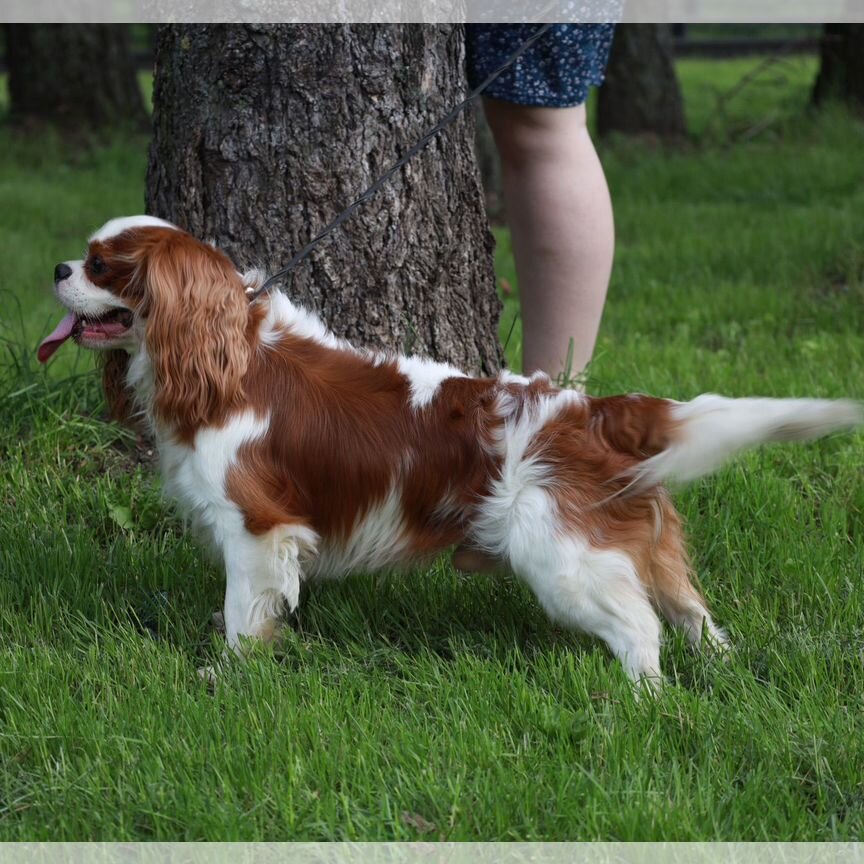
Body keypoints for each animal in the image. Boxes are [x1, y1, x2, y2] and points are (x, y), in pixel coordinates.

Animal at [42, 218, 864, 688]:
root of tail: (592, 411)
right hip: (639, 543)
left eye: (101, 265)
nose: (56, 269)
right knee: (692, 613)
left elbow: (244, 615)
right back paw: (722, 670)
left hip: (561, 560)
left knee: (642, 630)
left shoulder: (257, 530)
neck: (229, 356)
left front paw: (226, 676)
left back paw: (641, 703)